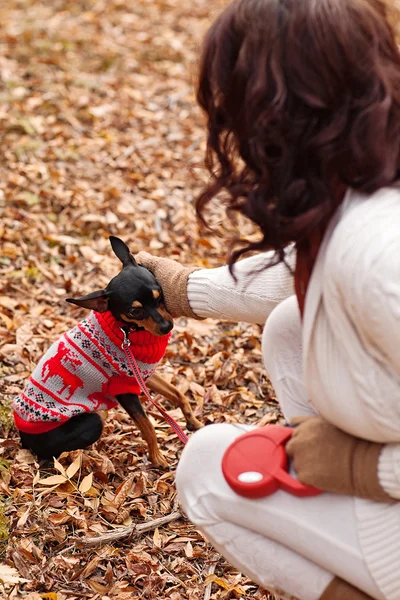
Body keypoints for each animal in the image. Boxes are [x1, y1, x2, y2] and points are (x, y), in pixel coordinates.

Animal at [13, 237, 203, 466]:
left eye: (159, 297)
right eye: (134, 311)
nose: (167, 327)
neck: (127, 331)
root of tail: (24, 437)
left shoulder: (140, 375)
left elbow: (177, 393)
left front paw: (193, 422)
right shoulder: (125, 391)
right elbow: (148, 425)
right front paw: (156, 457)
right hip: (93, 421)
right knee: (56, 453)